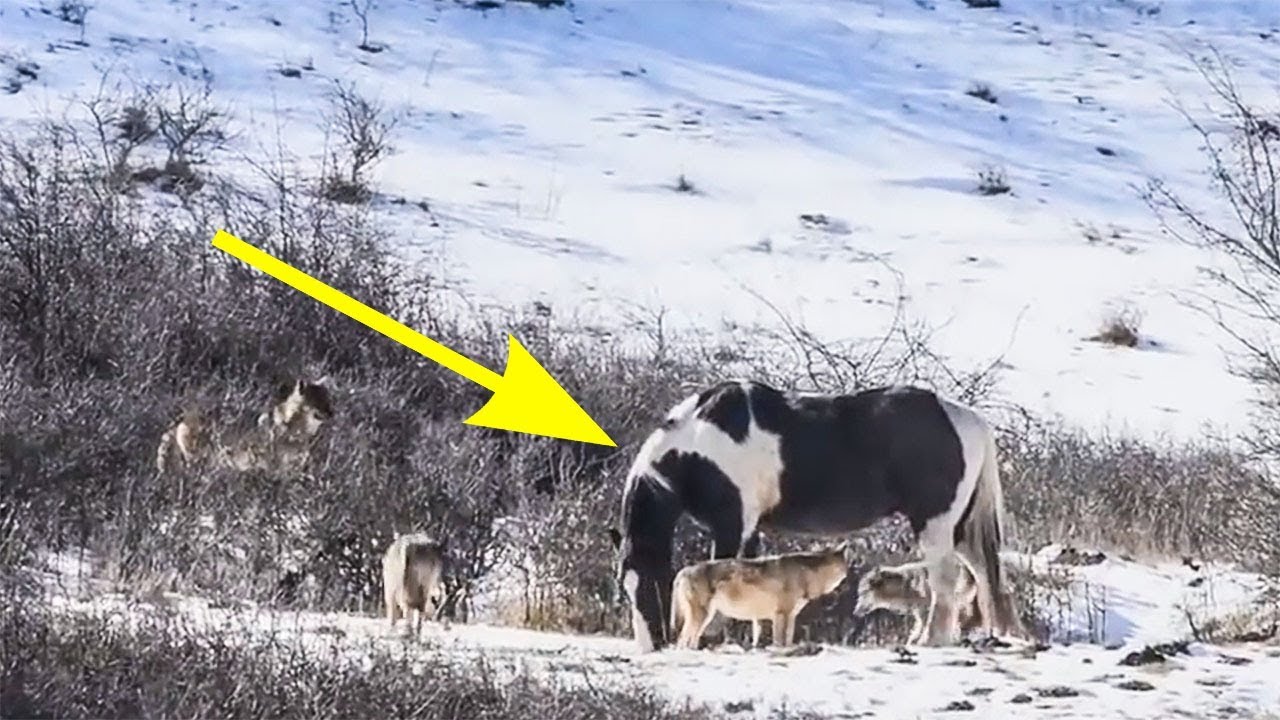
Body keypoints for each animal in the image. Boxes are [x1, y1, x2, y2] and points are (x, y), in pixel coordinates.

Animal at [155, 377, 335, 475]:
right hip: (199, 461)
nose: (332, 413)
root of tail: (184, 415)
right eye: (317, 401)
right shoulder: (274, 468)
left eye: (328, 399)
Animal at [669, 544, 852, 650]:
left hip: (706, 618)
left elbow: (788, 640)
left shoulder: (791, 616)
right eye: (844, 566)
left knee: (691, 640)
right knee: (681, 640)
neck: (807, 576)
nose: (848, 575)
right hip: (701, 616)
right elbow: (778, 642)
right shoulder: (780, 614)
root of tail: (683, 571)